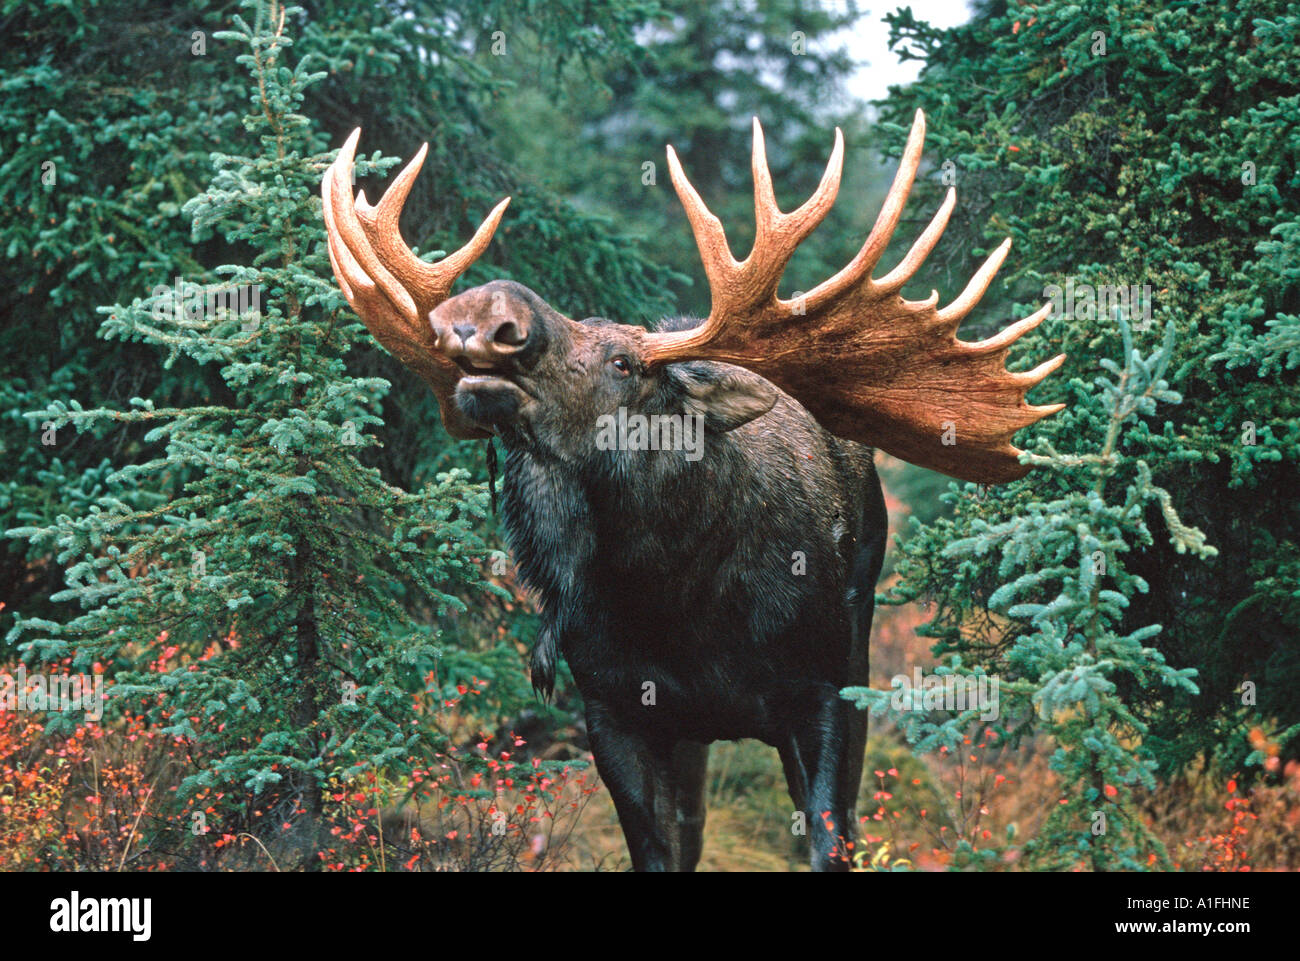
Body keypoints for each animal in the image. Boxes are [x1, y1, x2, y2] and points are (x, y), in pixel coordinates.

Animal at [321, 111, 1063, 871]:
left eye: (625, 363)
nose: (481, 311)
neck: (673, 601)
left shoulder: (825, 691)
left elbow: (832, 839)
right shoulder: (614, 709)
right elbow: (658, 850)